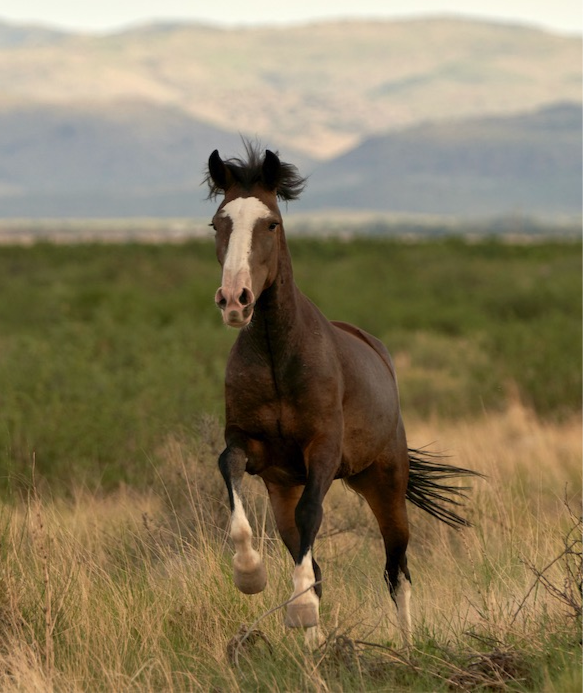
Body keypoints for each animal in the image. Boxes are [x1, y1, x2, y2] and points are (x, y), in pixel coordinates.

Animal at [206, 142, 478, 645]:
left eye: (271, 223)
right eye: (219, 223)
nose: (235, 300)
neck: (278, 354)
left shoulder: (324, 450)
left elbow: (313, 514)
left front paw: (299, 609)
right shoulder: (251, 448)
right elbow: (230, 474)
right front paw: (251, 575)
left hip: (385, 483)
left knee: (397, 569)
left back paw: (407, 647)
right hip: (283, 487)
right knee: (311, 554)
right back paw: (313, 643)